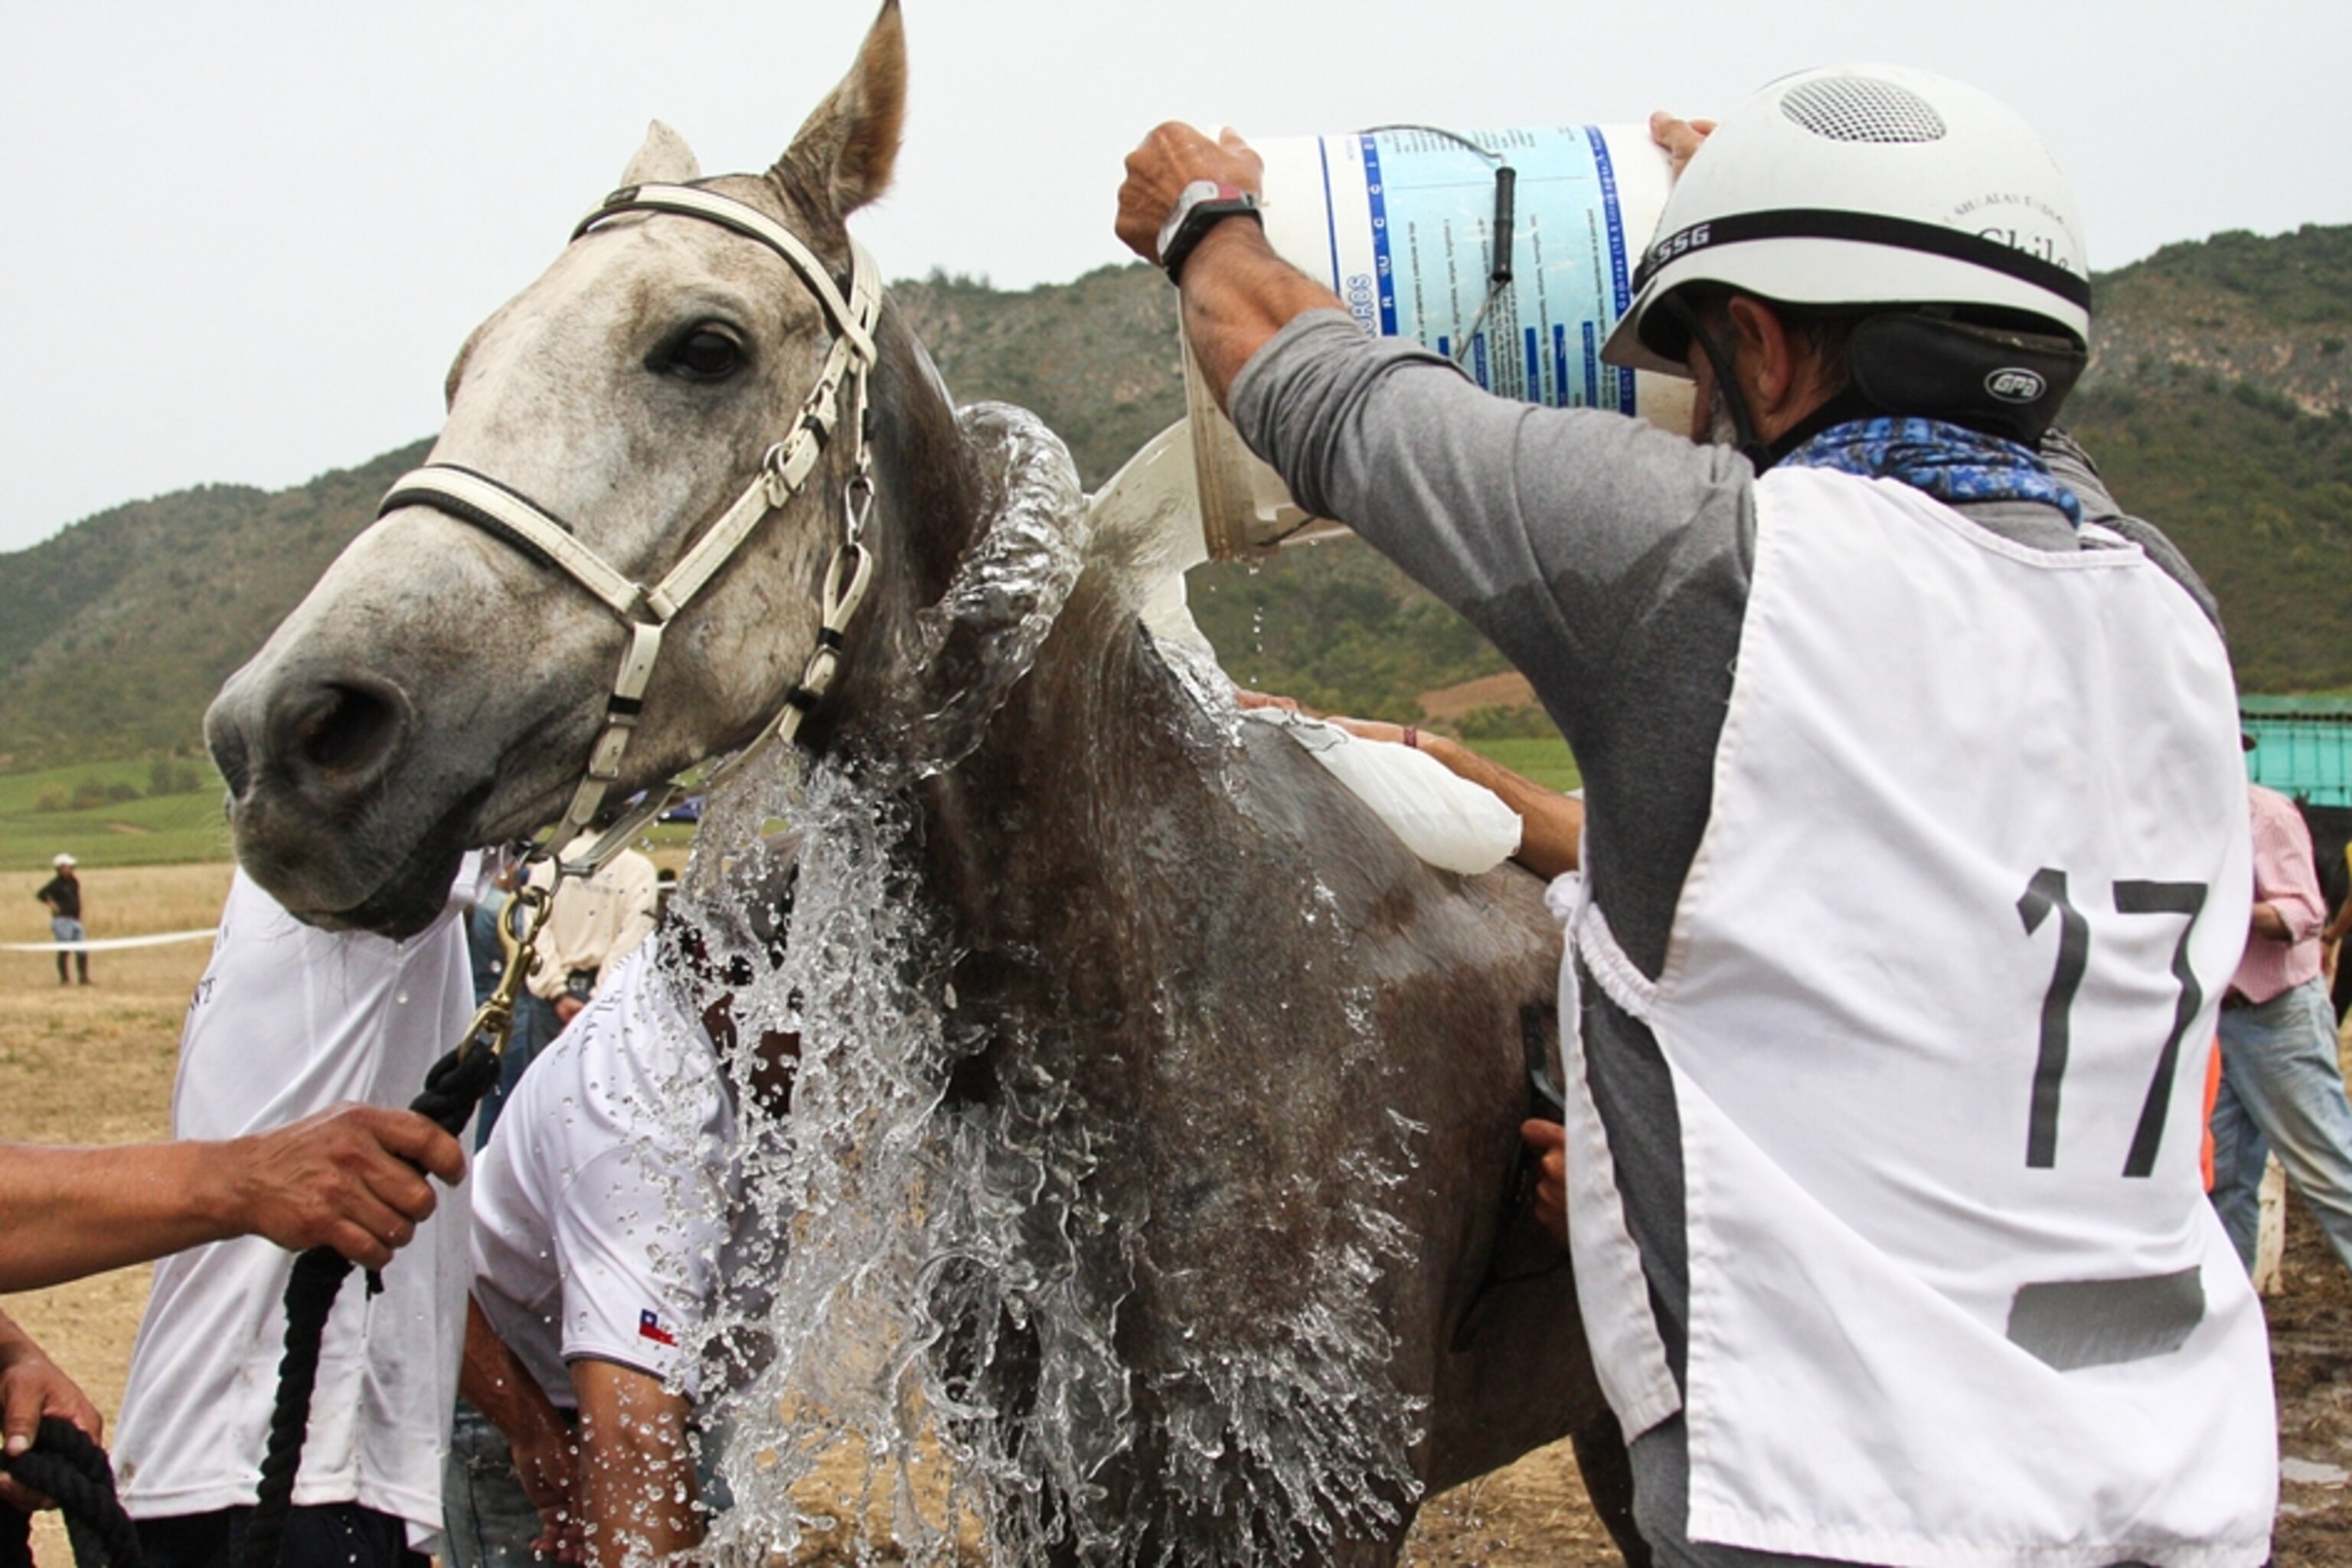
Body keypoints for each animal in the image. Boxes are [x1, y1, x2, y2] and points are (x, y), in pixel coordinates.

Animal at [199, 5, 1614, 1561]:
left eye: (703, 345)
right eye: (467, 367)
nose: (286, 737)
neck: (1184, 974)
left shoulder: (1302, 1504)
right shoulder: (1057, 1495)